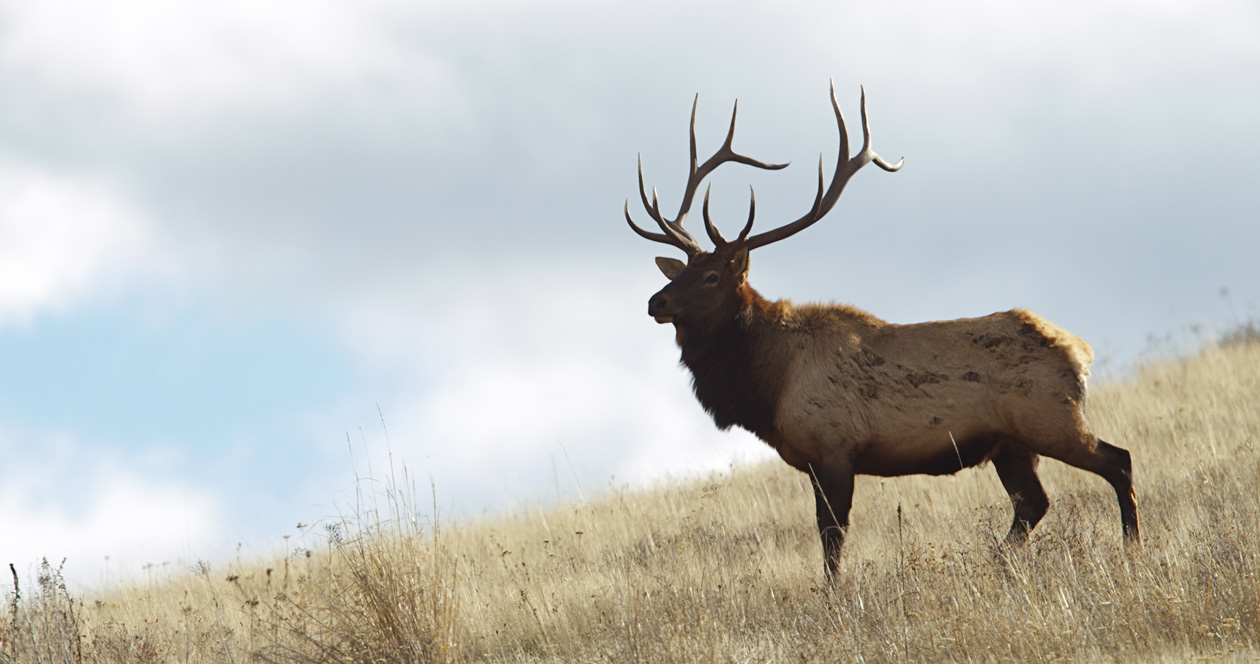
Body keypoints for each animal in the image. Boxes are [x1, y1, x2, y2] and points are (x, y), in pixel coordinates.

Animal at [624, 83, 1140, 579]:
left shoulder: (832, 448)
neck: (769, 383)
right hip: (1010, 444)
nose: (655, 302)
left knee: (1118, 461)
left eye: (711, 277)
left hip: (1051, 418)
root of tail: (1081, 353)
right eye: (681, 272)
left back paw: (1132, 549)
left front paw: (834, 595)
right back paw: (1000, 561)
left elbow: (832, 537)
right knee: (1033, 503)